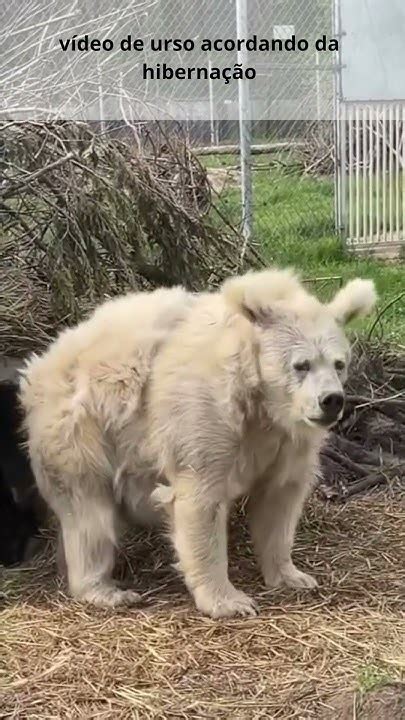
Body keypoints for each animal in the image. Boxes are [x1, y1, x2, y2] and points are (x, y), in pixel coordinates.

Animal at [19, 268, 377, 617]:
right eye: (301, 364)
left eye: (339, 363)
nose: (331, 400)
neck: (259, 400)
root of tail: (41, 364)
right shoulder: (205, 414)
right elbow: (200, 499)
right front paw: (229, 602)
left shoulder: (286, 440)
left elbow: (280, 499)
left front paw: (293, 576)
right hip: (81, 428)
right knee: (89, 513)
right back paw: (105, 590)